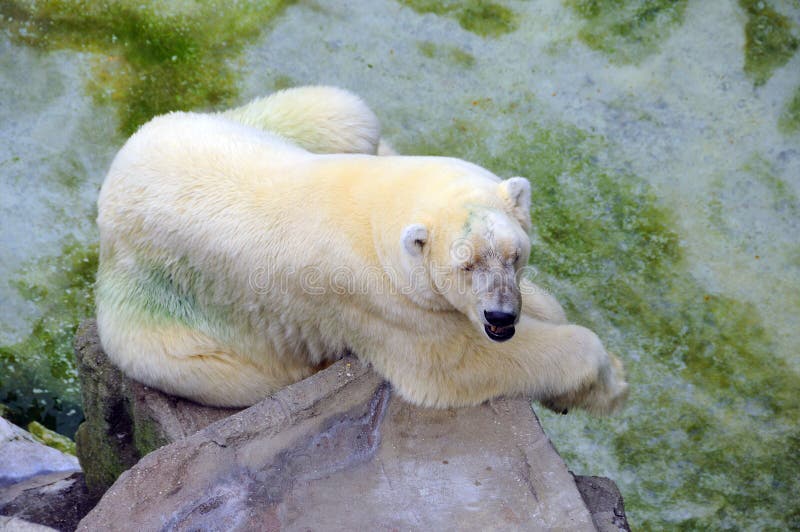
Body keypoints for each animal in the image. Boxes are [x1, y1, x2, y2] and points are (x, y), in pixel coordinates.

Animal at [95, 92, 628, 415]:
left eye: (513, 256)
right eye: (465, 265)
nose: (500, 317)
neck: (374, 206)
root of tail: (109, 193)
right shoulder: (382, 304)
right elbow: (455, 365)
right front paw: (609, 382)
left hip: (226, 123)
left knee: (347, 111)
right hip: (156, 309)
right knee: (223, 372)